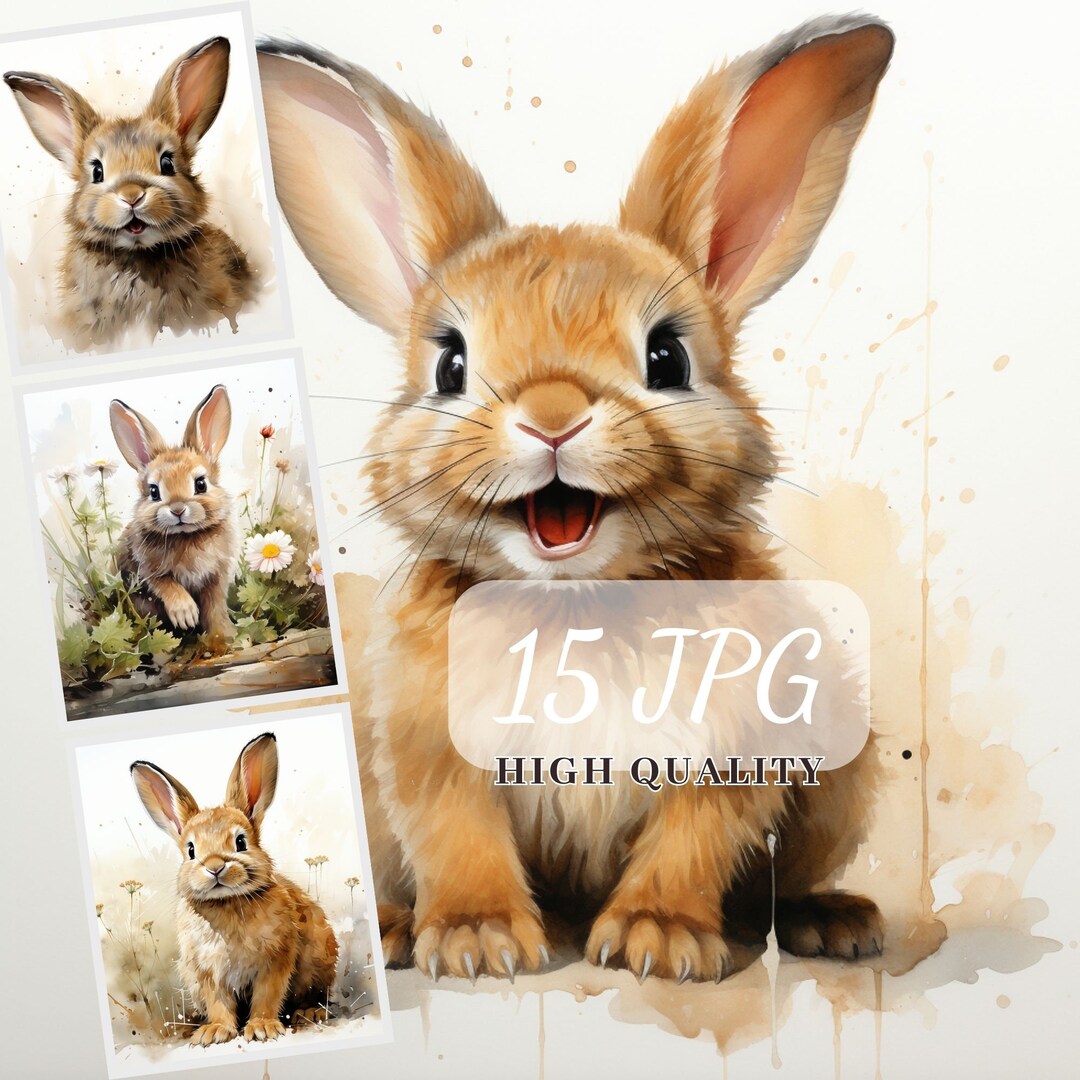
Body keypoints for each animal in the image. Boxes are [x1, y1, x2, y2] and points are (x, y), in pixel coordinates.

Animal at [110, 384, 239, 645]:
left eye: (201, 484)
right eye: (154, 491)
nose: (177, 510)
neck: (187, 536)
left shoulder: (215, 577)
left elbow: (215, 608)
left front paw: (225, 636)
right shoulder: (149, 570)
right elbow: (166, 585)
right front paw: (186, 615)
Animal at [131, 732, 339, 1045]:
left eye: (240, 842)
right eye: (191, 850)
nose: (215, 867)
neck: (226, 903)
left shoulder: (275, 961)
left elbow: (267, 996)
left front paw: (262, 1028)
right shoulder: (207, 972)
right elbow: (218, 1002)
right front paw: (215, 1032)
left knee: (318, 995)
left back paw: (310, 1012)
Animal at [257, 14, 894, 982]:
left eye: (667, 356)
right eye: (451, 366)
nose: (552, 417)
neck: (576, 602)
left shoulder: (737, 752)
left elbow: (692, 844)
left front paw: (657, 941)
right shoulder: (430, 754)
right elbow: (458, 838)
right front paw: (477, 940)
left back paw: (833, 921)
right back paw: (401, 929)